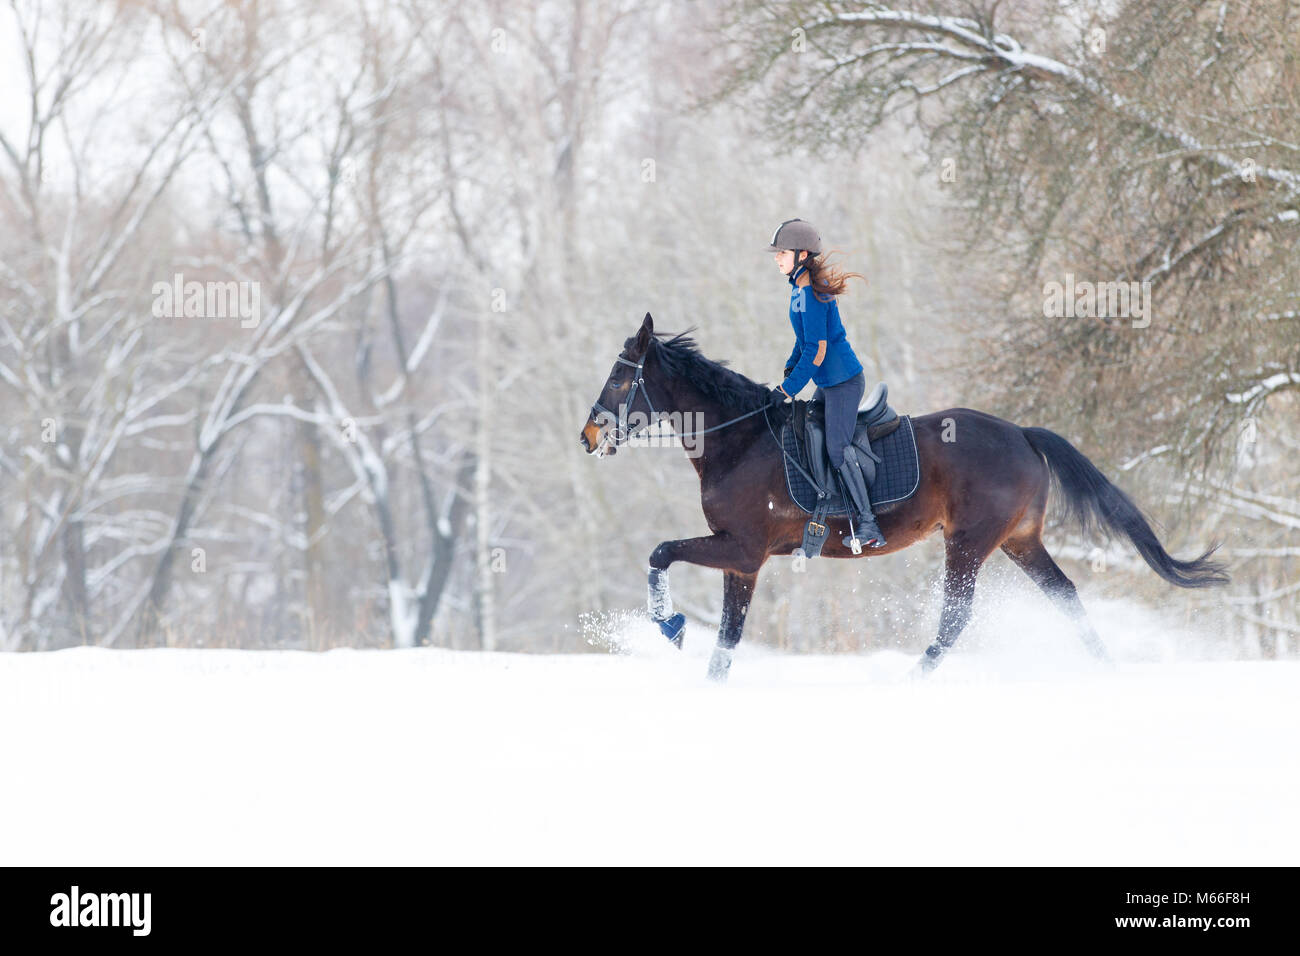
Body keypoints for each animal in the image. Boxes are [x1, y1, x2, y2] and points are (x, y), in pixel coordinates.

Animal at [578, 313, 1229, 682]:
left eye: (619, 377)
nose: (588, 436)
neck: (740, 439)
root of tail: (1021, 433)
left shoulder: (740, 548)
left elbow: (661, 554)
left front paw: (669, 626)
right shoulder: (742, 561)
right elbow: (727, 639)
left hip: (968, 543)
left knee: (957, 615)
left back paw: (915, 680)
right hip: (1018, 541)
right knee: (1065, 595)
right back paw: (1105, 667)